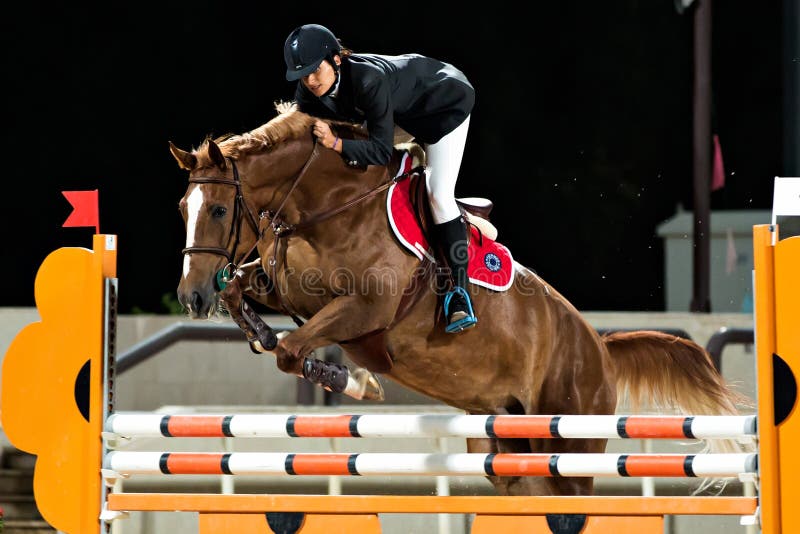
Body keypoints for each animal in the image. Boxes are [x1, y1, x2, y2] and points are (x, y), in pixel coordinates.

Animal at [170, 103, 750, 497]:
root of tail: (600, 348)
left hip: (571, 443)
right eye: (183, 208)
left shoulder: (366, 310)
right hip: (510, 449)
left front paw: (354, 381)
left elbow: (293, 350)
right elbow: (246, 297)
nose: (191, 297)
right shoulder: (286, 286)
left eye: (218, 210)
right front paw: (263, 332)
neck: (330, 203)